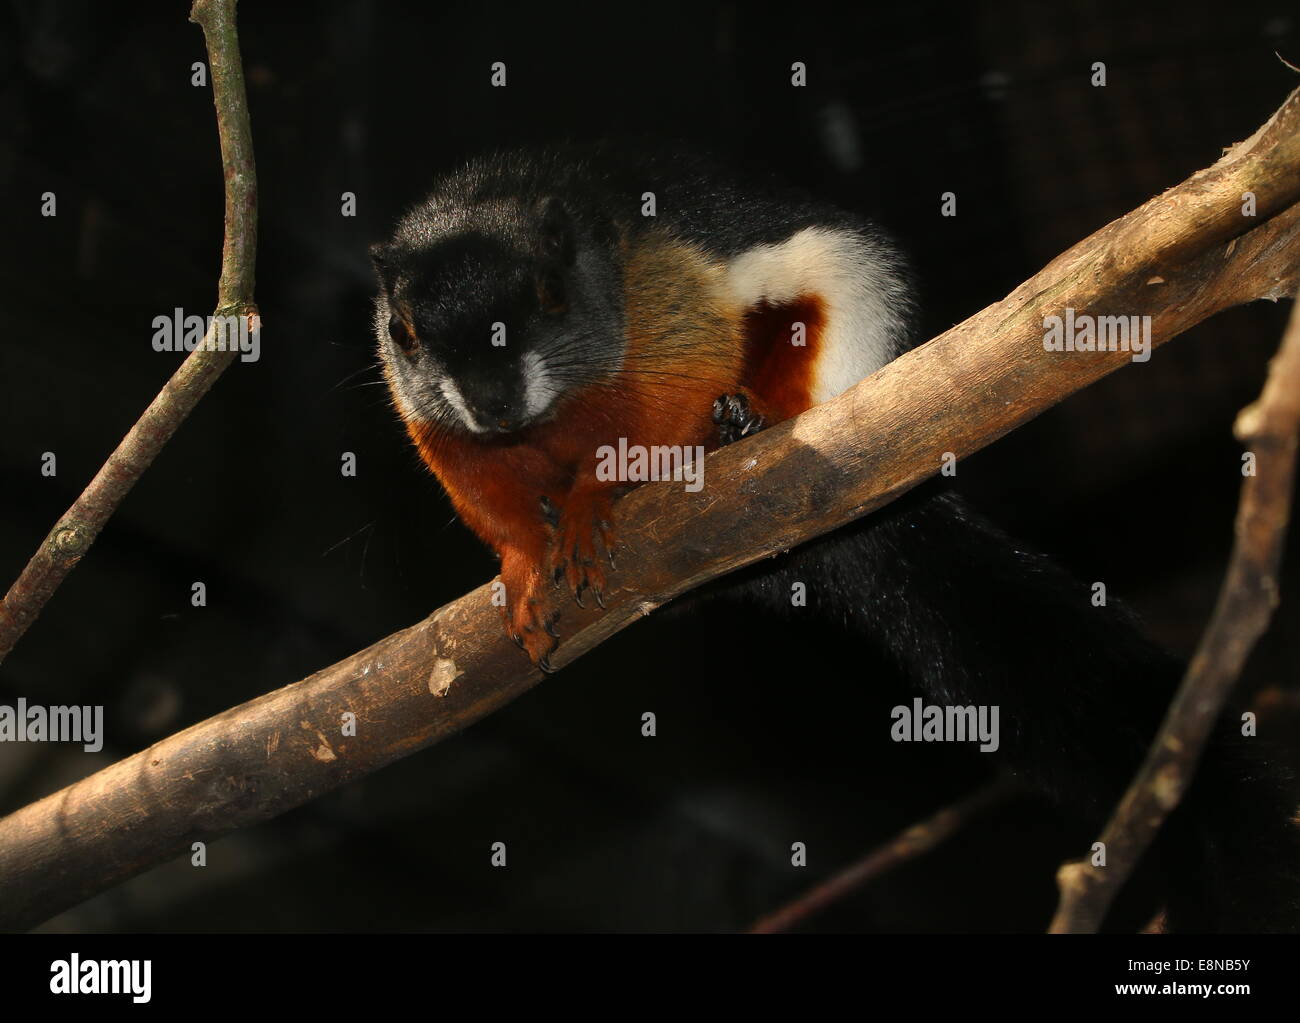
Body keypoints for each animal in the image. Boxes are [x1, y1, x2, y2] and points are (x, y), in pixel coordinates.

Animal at [372, 142, 1300, 932]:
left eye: (550, 300)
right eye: (406, 333)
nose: (492, 399)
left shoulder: (662, 299)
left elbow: (674, 391)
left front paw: (600, 498)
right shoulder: (436, 420)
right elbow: (481, 487)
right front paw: (527, 559)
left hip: (850, 346)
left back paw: (747, 428)